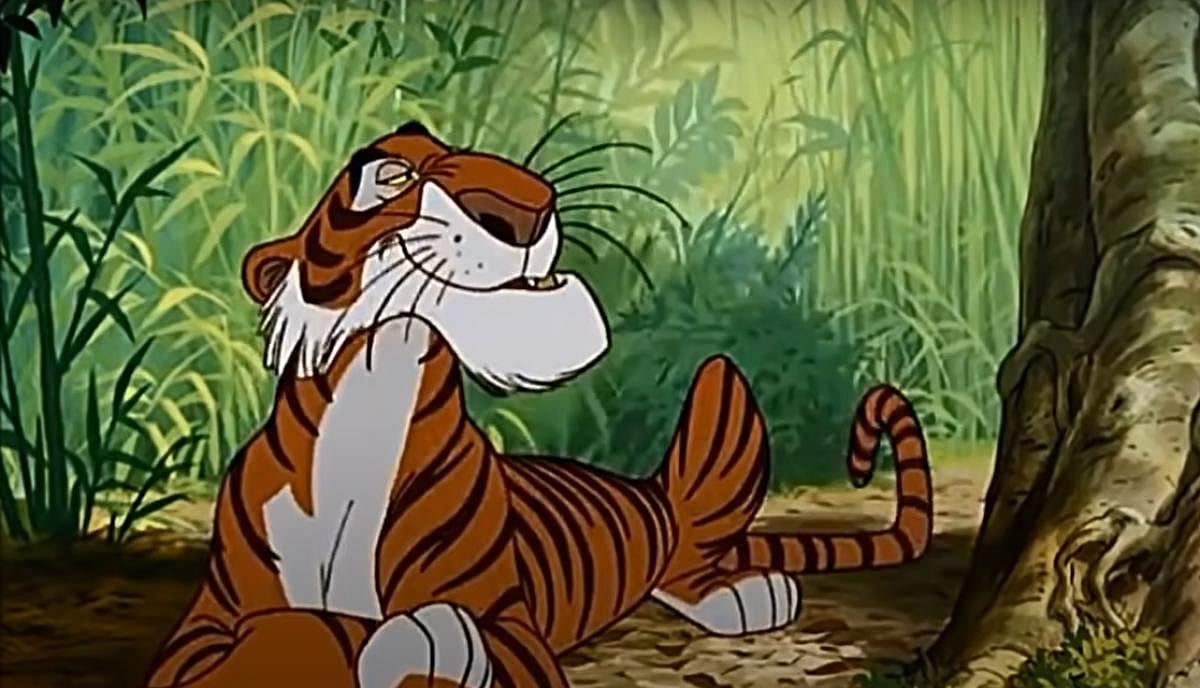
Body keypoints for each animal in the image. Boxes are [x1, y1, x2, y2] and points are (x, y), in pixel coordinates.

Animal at [142, 121, 934, 688]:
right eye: (389, 173)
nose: (522, 205)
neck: (379, 380)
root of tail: (661, 498)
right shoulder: (207, 622)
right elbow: (278, 638)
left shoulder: (509, 624)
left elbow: (414, 633)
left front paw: (421, 638)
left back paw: (749, 595)